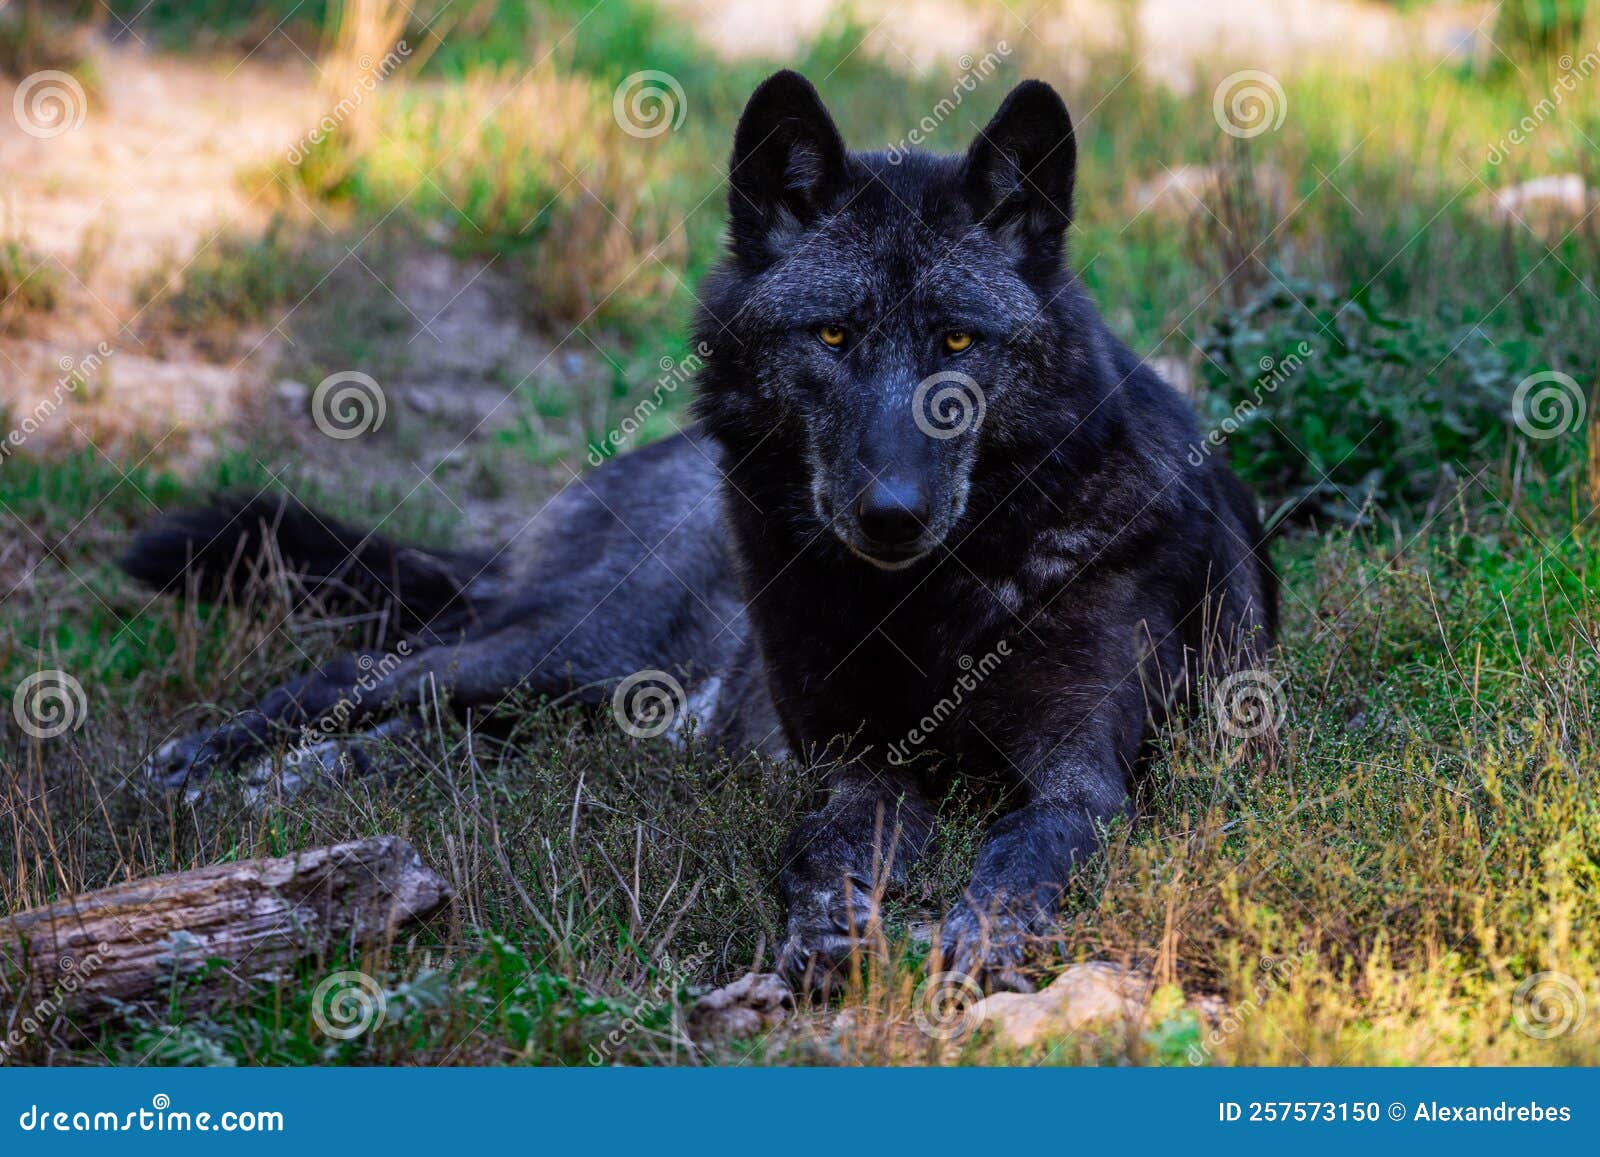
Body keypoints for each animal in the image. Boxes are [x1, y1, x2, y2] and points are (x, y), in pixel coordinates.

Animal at [122, 72, 1275, 991]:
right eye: (831, 336)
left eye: (958, 342)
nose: (891, 512)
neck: (925, 604)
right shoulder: (855, 766)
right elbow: (826, 853)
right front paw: (827, 934)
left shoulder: (1080, 779)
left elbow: (1022, 858)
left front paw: (980, 940)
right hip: (565, 655)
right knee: (355, 676)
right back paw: (200, 768)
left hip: (570, 707)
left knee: (418, 738)